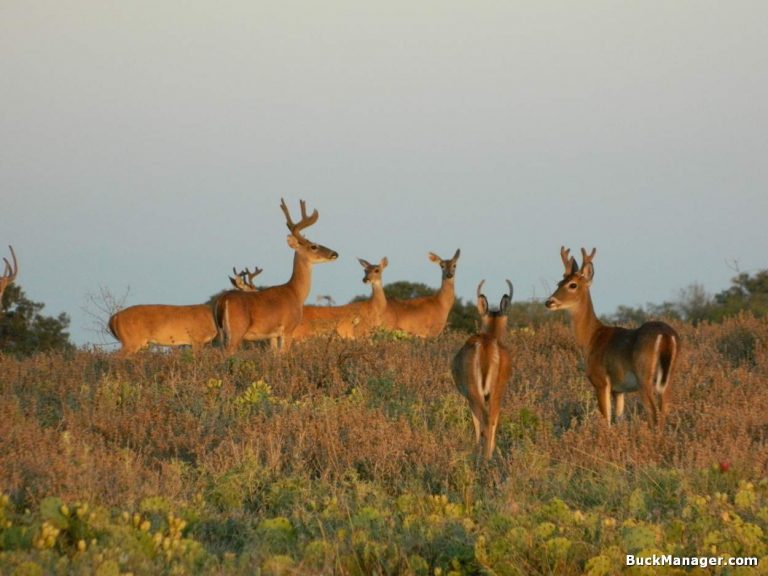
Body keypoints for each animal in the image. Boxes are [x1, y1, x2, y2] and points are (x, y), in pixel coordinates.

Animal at [215, 199, 338, 352]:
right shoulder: (288, 329)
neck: (296, 293)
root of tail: (222, 301)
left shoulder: (273, 335)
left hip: (221, 334)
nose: (335, 254)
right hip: (236, 331)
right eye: (313, 246)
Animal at [451, 280, 513, 460]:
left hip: (475, 393)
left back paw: (484, 457)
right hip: (496, 392)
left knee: (485, 420)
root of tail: (487, 345)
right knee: (491, 418)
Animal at [545, 247, 679, 427]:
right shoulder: (618, 389)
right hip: (668, 378)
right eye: (558, 283)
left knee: (653, 413)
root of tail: (665, 335)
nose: (549, 302)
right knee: (664, 409)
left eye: (573, 285)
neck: (592, 338)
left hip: (644, 378)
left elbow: (606, 419)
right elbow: (618, 417)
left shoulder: (600, 380)